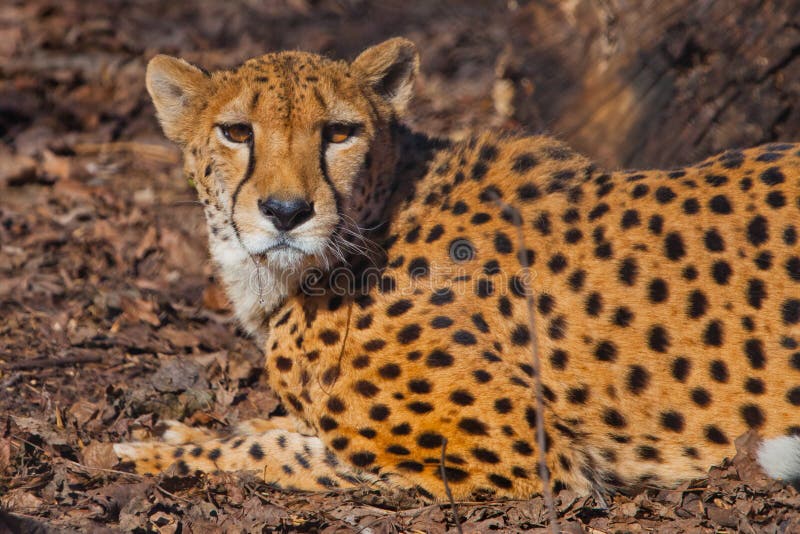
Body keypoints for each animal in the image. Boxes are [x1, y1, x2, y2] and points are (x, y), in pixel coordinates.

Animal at [114, 37, 800, 501]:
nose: (286, 211)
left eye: (339, 132)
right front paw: (179, 436)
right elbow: (277, 428)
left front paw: (144, 454)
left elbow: (281, 448)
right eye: (236, 132)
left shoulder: (526, 456)